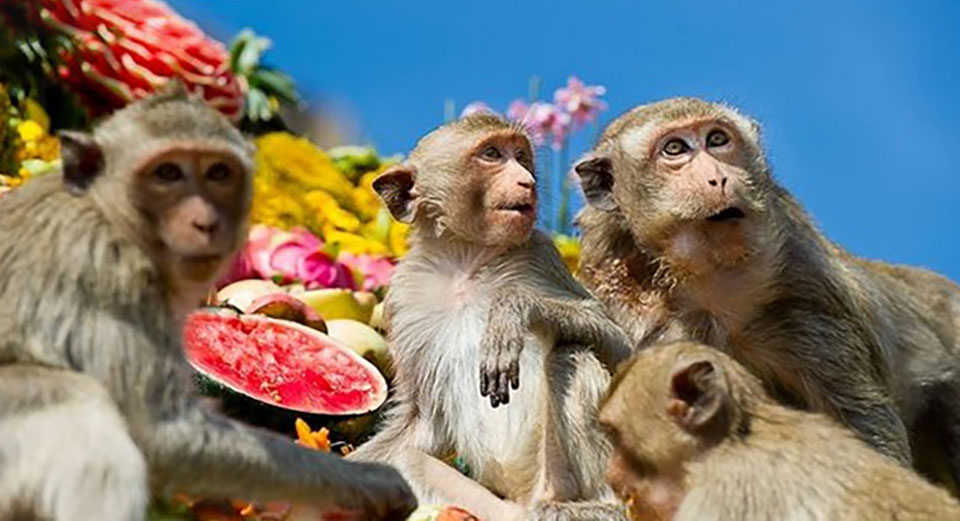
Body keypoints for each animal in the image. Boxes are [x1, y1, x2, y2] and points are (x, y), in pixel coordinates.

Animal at [0, 83, 416, 521]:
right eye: (167, 174)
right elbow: (164, 436)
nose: (204, 221)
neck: (107, 211)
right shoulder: (116, 276)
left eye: (218, 174)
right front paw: (371, 482)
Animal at [346, 113, 633, 520]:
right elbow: (420, 421)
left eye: (521, 156)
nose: (528, 181)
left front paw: (512, 309)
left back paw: (594, 506)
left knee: (571, 356)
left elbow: (624, 350)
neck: (466, 260)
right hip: (486, 504)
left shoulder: (542, 255)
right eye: (492, 154)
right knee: (407, 462)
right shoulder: (402, 298)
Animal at [571, 96, 960, 489]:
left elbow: (860, 416)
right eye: (675, 149)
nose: (718, 177)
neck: (706, 283)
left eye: (717, 140)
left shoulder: (808, 295)